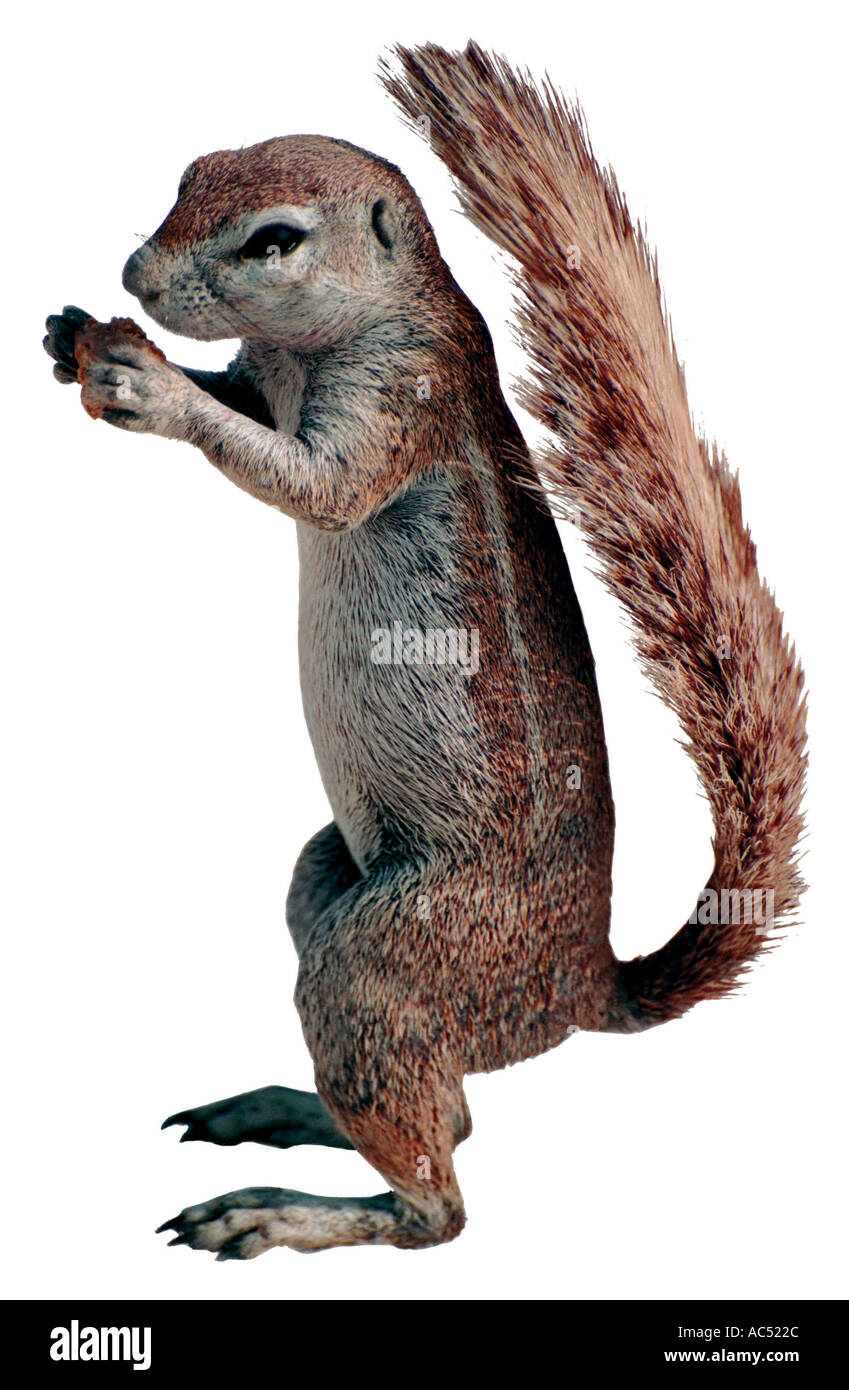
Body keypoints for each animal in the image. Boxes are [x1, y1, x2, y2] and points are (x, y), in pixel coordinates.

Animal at [43, 42, 806, 1257]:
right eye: (191, 169)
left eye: (275, 239)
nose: (135, 276)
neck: (326, 334)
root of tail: (580, 990)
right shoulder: (262, 376)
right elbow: (239, 399)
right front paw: (75, 335)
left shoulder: (403, 398)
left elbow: (309, 481)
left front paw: (146, 384)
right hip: (327, 878)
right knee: (444, 1106)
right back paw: (290, 1108)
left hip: (382, 955)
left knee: (437, 1210)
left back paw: (286, 1212)